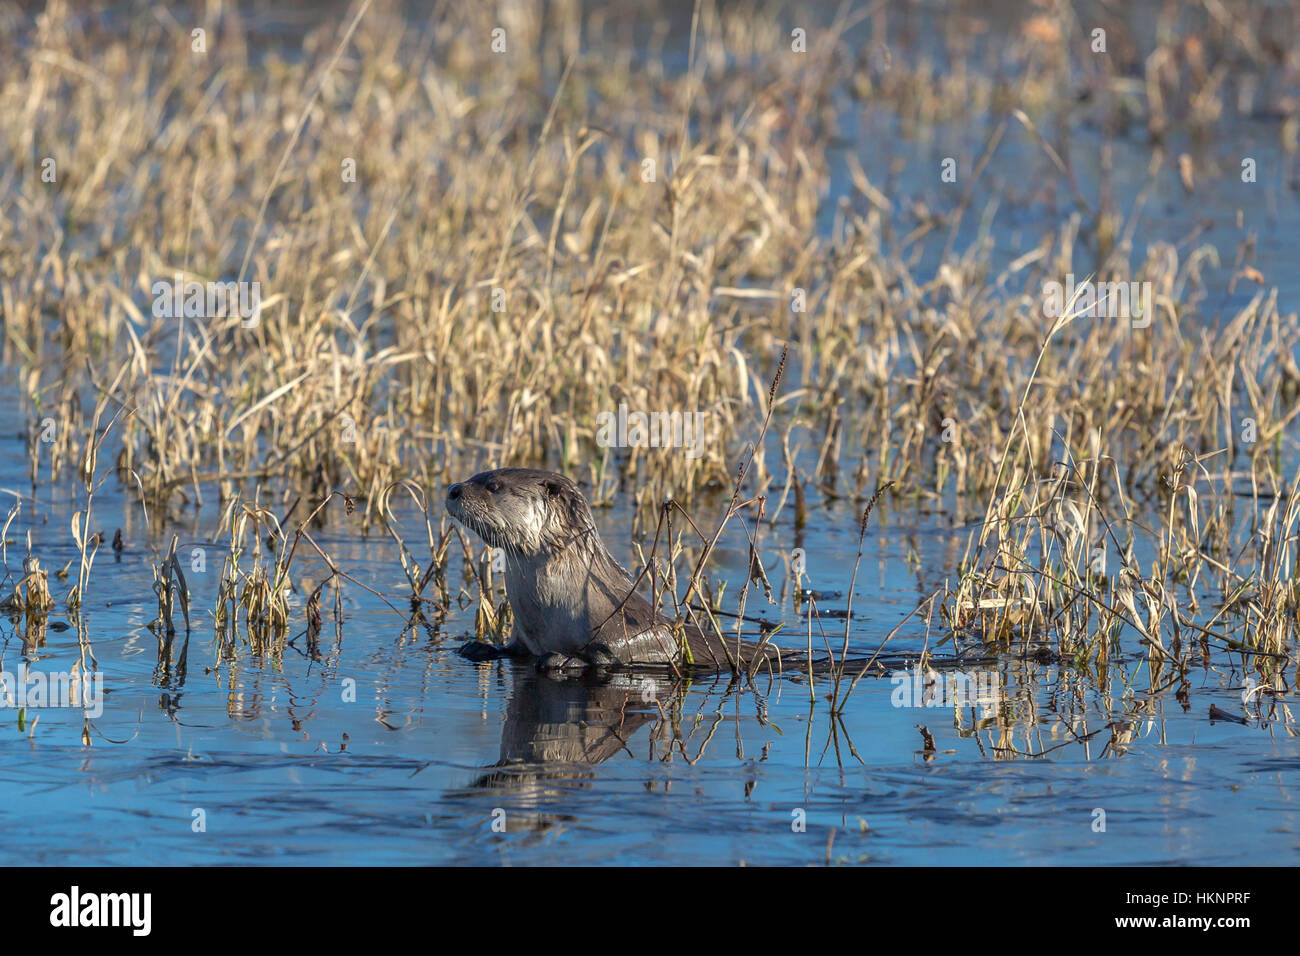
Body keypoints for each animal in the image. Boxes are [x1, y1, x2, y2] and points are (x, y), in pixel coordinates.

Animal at [446, 468, 793, 674]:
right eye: (477, 474)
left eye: (493, 486)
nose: (453, 489)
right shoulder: (524, 635)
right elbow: (513, 650)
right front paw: (480, 646)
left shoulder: (639, 628)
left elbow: (647, 648)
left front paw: (564, 658)